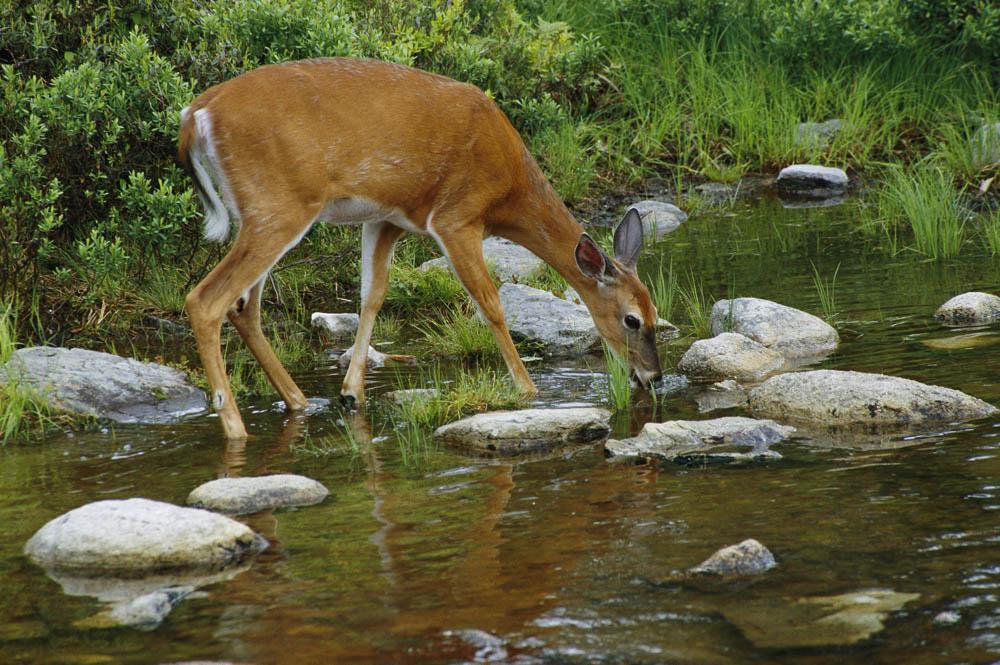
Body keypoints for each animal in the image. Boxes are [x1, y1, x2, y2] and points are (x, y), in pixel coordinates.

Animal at [178, 58, 662, 440]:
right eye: (631, 320)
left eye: (656, 312)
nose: (653, 377)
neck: (509, 188)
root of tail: (196, 113)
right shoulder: (457, 217)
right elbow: (490, 303)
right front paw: (528, 389)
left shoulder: (387, 219)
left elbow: (372, 296)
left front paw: (351, 392)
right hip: (278, 207)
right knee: (206, 299)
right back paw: (235, 426)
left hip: (262, 213)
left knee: (244, 306)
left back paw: (299, 400)